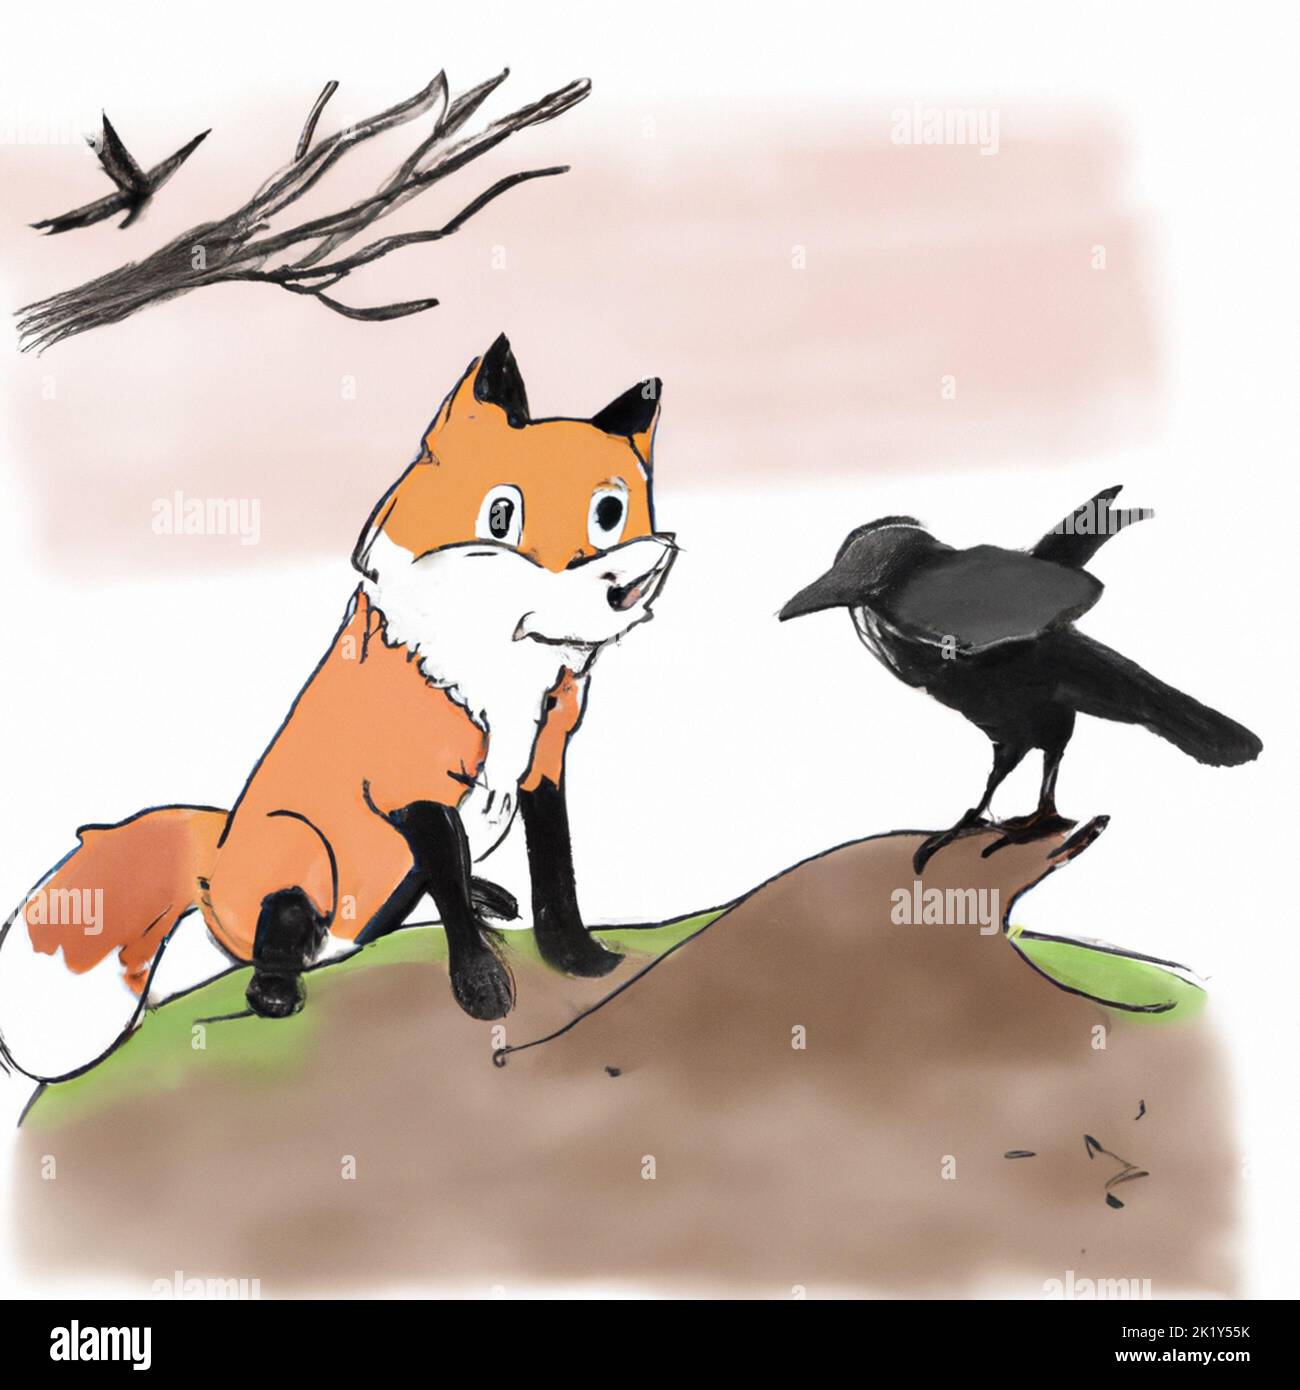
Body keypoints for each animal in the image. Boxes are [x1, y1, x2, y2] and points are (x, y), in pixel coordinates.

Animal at [0, 335, 676, 1083]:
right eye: (501, 516)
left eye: (608, 514)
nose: (619, 592)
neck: (498, 675)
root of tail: (212, 856)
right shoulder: (411, 786)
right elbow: (456, 901)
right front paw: (482, 990)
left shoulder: (542, 765)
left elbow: (555, 876)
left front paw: (581, 961)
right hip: (302, 845)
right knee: (281, 937)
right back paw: (275, 988)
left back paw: (482, 896)